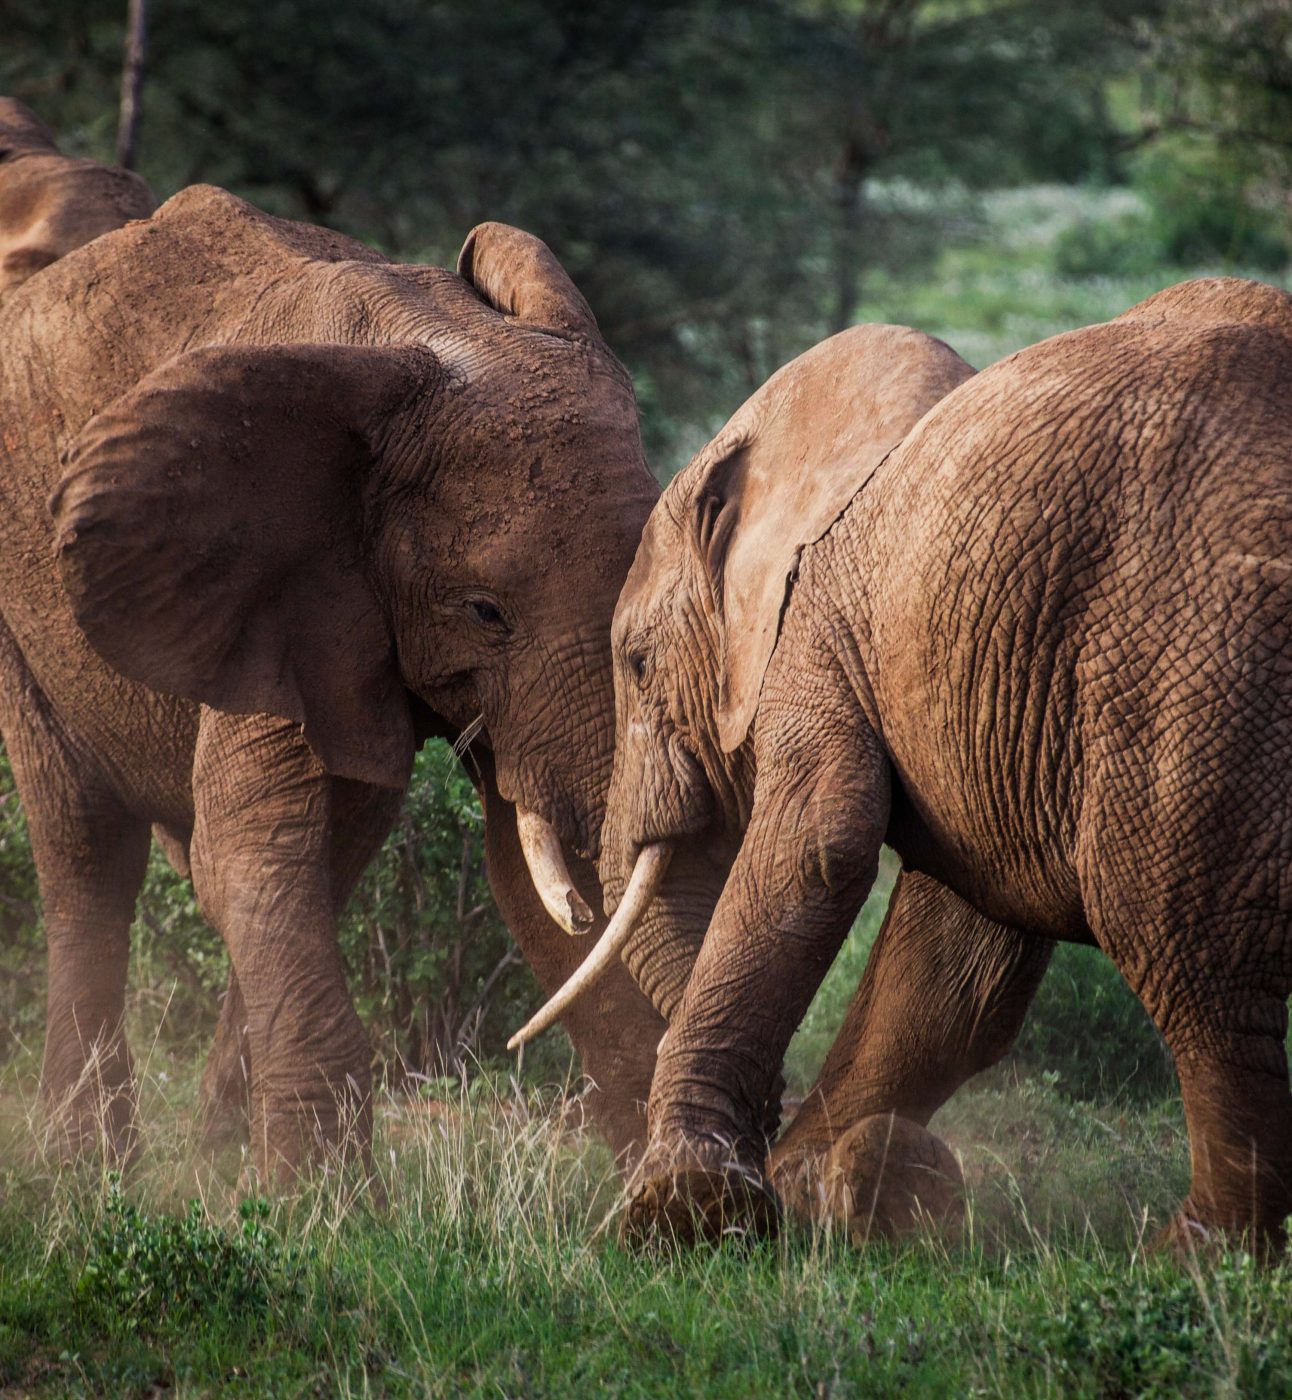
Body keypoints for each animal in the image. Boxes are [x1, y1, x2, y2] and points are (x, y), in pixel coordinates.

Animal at [0, 179, 670, 1182]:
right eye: (485, 612)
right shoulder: (282, 576)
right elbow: (248, 841)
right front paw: (321, 1199)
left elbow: (515, 870)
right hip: (20, 617)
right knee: (86, 850)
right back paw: (84, 1176)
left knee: (337, 848)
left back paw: (211, 1164)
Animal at [526, 279, 1292, 1248]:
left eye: (633, 662)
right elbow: (962, 962)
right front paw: (828, 1188)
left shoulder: (816, 628)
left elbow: (819, 848)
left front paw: (685, 1212)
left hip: (1190, 667)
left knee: (1180, 941)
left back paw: (1194, 1255)